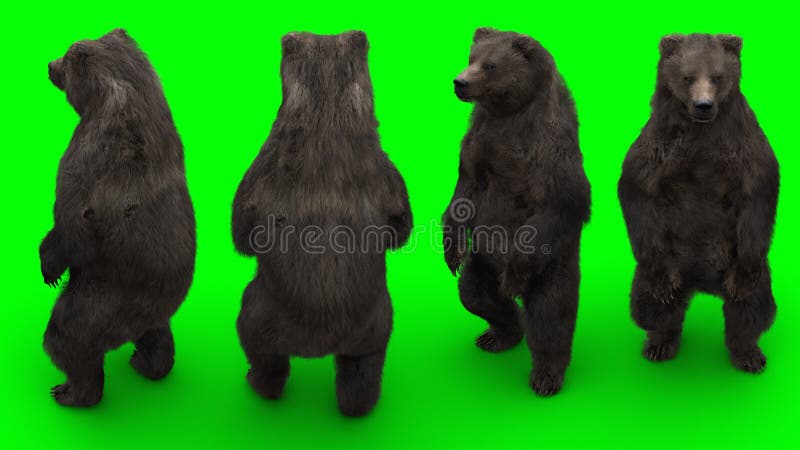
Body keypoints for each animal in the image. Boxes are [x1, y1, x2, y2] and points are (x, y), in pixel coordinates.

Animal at [41, 29, 196, 406]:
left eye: (67, 57)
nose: (49, 64)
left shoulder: (88, 151)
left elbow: (73, 216)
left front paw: (49, 267)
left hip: (106, 295)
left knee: (69, 335)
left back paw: (70, 391)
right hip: (152, 305)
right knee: (158, 335)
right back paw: (146, 362)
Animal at [232, 31, 412, 417]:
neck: (326, 118)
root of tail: (317, 344)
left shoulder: (259, 170)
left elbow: (241, 230)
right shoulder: (390, 175)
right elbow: (402, 224)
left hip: (256, 313)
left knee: (266, 358)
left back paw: (257, 382)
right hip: (374, 330)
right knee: (361, 371)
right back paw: (357, 405)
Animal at [444, 28, 591, 396]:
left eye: (490, 65)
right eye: (471, 58)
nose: (459, 82)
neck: (509, 114)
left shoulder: (548, 148)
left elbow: (562, 201)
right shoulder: (478, 144)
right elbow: (464, 190)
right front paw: (451, 251)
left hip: (553, 268)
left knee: (551, 316)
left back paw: (546, 377)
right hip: (482, 263)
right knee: (476, 295)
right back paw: (498, 335)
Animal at [618, 34, 779, 373]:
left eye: (716, 77)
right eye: (687, 77)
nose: (703, 105)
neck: (702, 132)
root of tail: (701, 282)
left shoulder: (743, 145)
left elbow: (759, 192)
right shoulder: (659, 148)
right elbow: (635, 189)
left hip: (738, 263)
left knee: (752, 306)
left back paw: (748, 353)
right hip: (670, 259)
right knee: (652, 304)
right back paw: (659, 343)